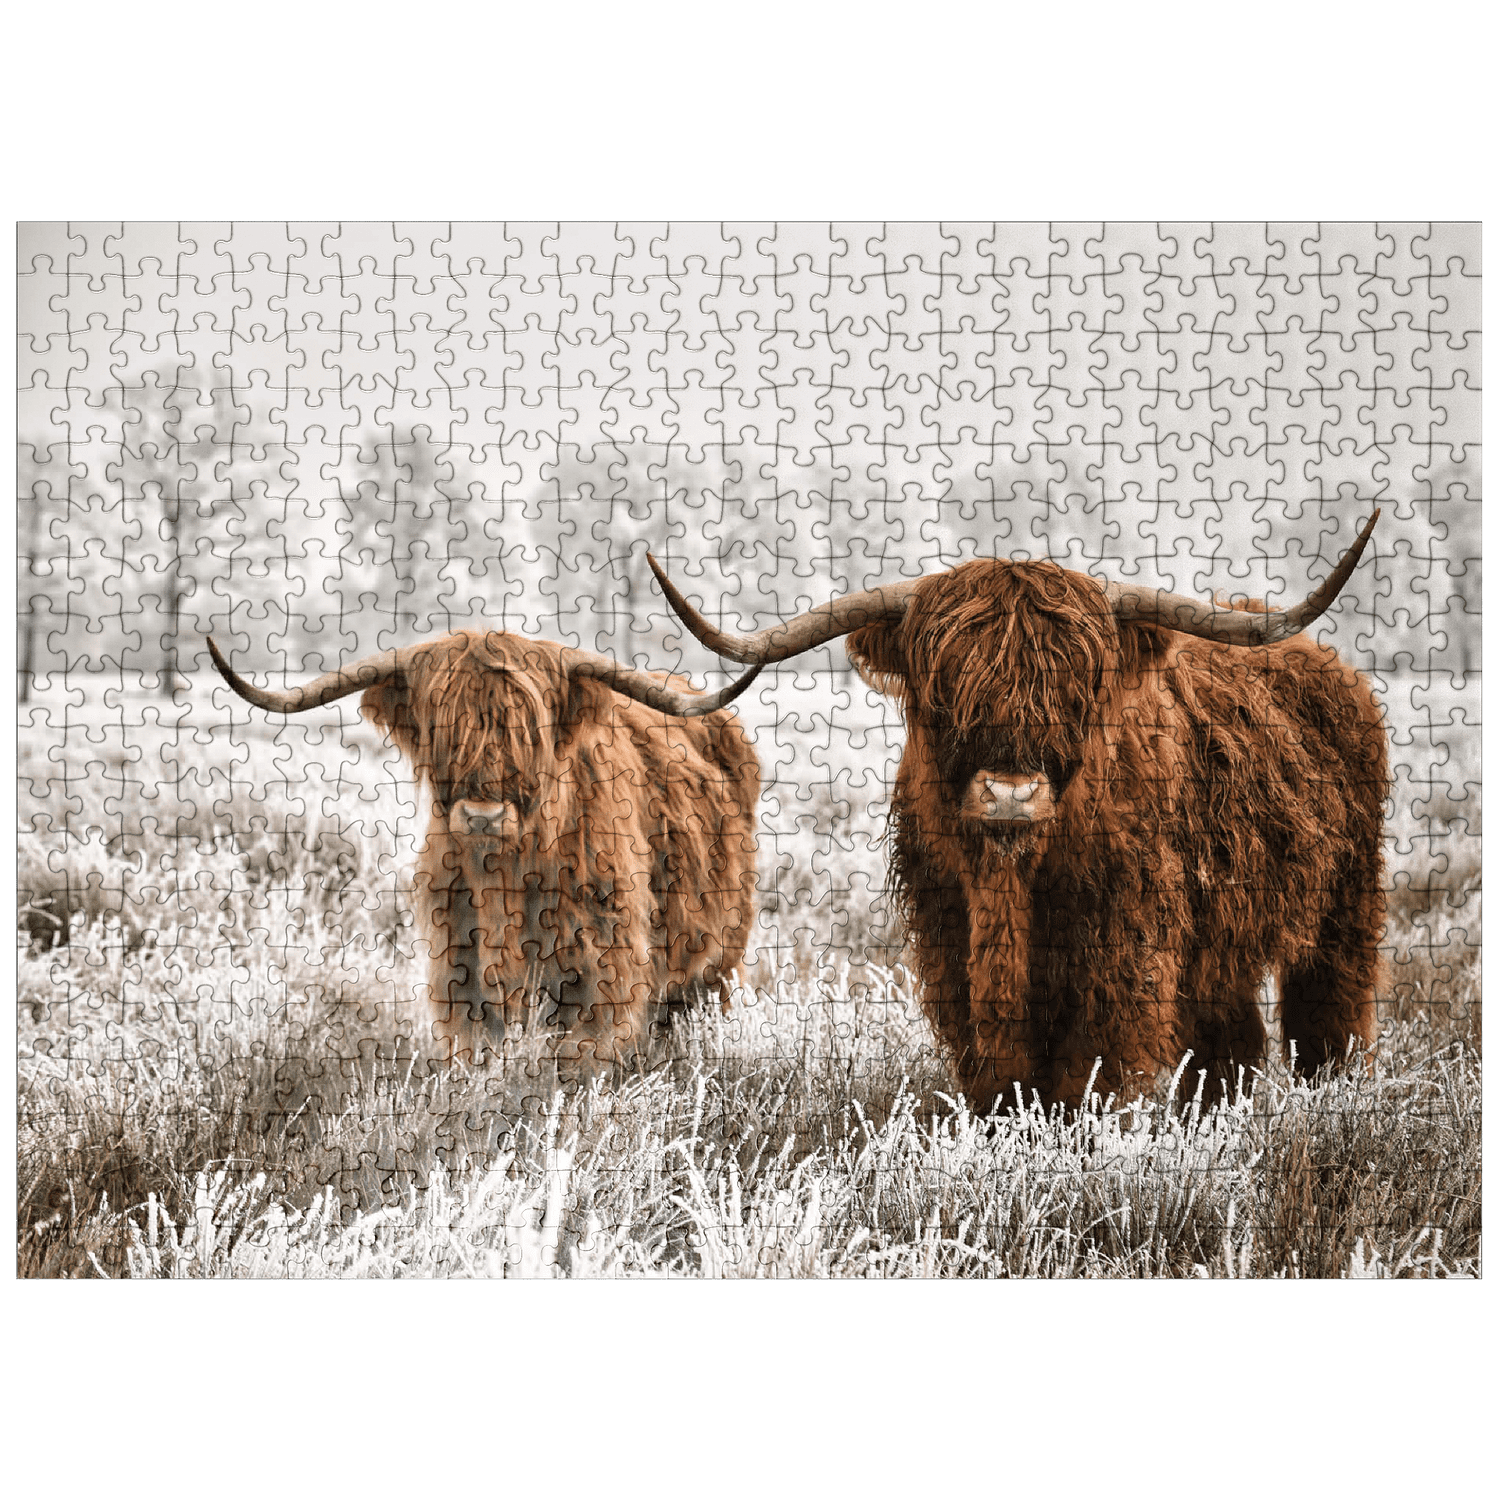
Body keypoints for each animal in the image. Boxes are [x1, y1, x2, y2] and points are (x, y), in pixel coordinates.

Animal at [207, 629, 762, 1072]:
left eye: (529, 732)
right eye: (441, 727)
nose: (483, 816)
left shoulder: (602, 976)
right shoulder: (461, 977)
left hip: (717, 961)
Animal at [645, 514, 1386, 1114]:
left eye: (1078, 690)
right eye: (944, 691)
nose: (1009, 793)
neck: (1010, 882)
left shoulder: (1125, 950)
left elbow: (1089, 1075)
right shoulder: (948, 937)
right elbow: (994, 1074)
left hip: (1345, 905)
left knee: (1329, 1014)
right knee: (1233, 1040)